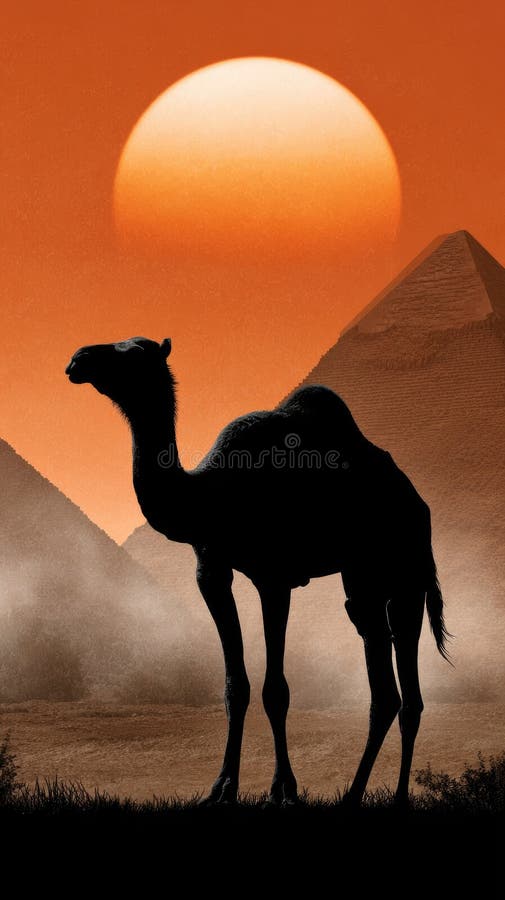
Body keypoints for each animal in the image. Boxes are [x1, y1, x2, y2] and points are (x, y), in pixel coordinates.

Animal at [66, 336, 450, 807]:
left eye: (134, 352)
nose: (79, 359)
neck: (211, 494)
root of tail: (418, 503)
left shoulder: (274, 576)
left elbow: (275, 690)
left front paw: (284, 789)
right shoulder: (211, 570)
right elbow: (237, 685)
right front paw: (222, 788)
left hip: (406, 572)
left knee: (407, 689)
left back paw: (387, 798)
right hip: (362, 581)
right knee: (385, 684)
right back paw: (359, 795)